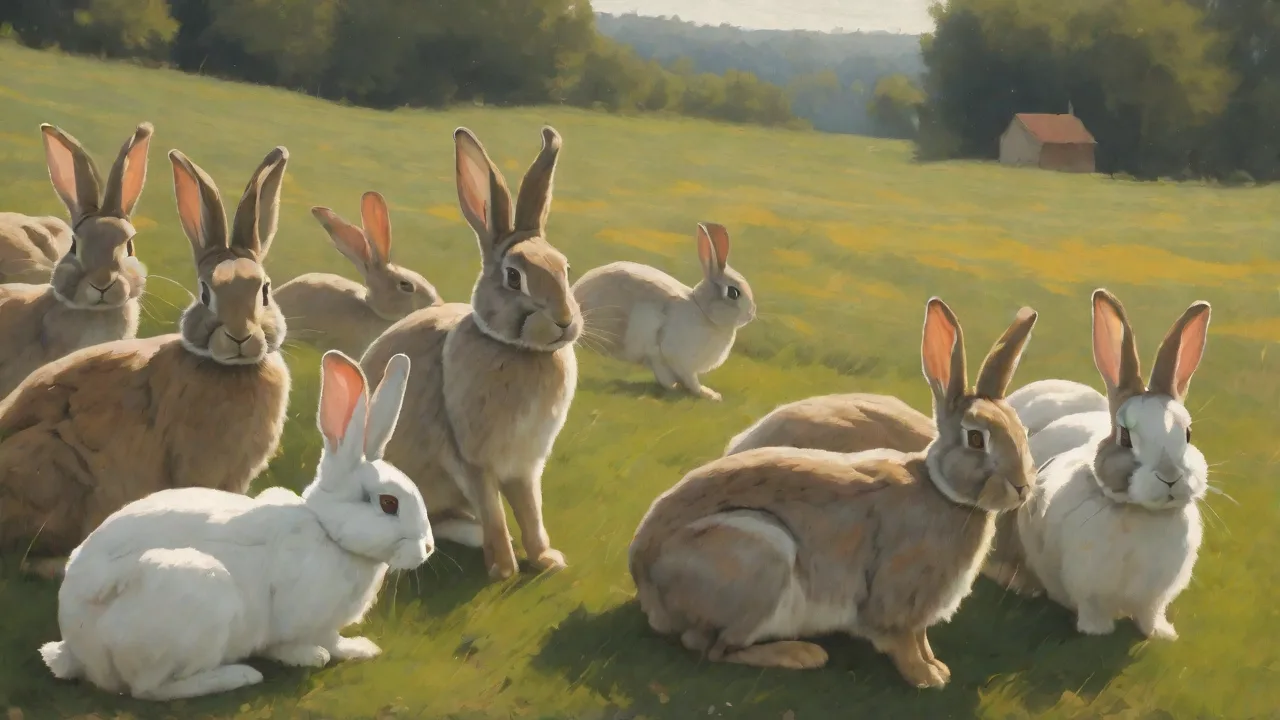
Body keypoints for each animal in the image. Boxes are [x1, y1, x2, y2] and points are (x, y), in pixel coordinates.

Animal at [39, 350, 433, 701]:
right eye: (389, 503)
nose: (427, 548)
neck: (328, 533)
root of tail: (76, 644)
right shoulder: (298, 619)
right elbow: (307, 643)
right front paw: (318, 655)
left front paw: (359, 649)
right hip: (197, 599)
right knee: (149, 689)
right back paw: (237, 675)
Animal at [360, 126, 579, 582]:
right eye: (513, 277)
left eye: (565, 269)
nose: (565, 321)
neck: (519, 351)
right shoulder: (471, 460)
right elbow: (495, 510)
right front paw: (504, 570)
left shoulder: (525, 466)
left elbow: (531, 511)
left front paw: (546, 561)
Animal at [572, 222, 756, 401]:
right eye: (733, 293)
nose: (751, 314)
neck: (703, 311)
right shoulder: (673, 356)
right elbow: (688, 379)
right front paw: (709, 395)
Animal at [629, 298, 1038, 688]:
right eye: (976, 439)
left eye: (1022, 431)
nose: (1023, 487)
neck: (942, 491)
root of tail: (644, 578)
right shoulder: (896, 599)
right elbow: (903, 642)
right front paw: (926, 679)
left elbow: (922, 639)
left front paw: (938, 667)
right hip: (758, 555)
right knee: (711, 648)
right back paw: (801, 654)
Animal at [984, 289, 1212, 641]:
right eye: (1125, 437)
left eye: (1187, 434)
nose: (1170, 477)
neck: (1141, 513)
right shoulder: (1090, 591)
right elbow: (1094, 611)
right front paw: (1097, 632)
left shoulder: (1154, 598)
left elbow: (1150, 615)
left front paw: (1161, 635)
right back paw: (1023, 586)